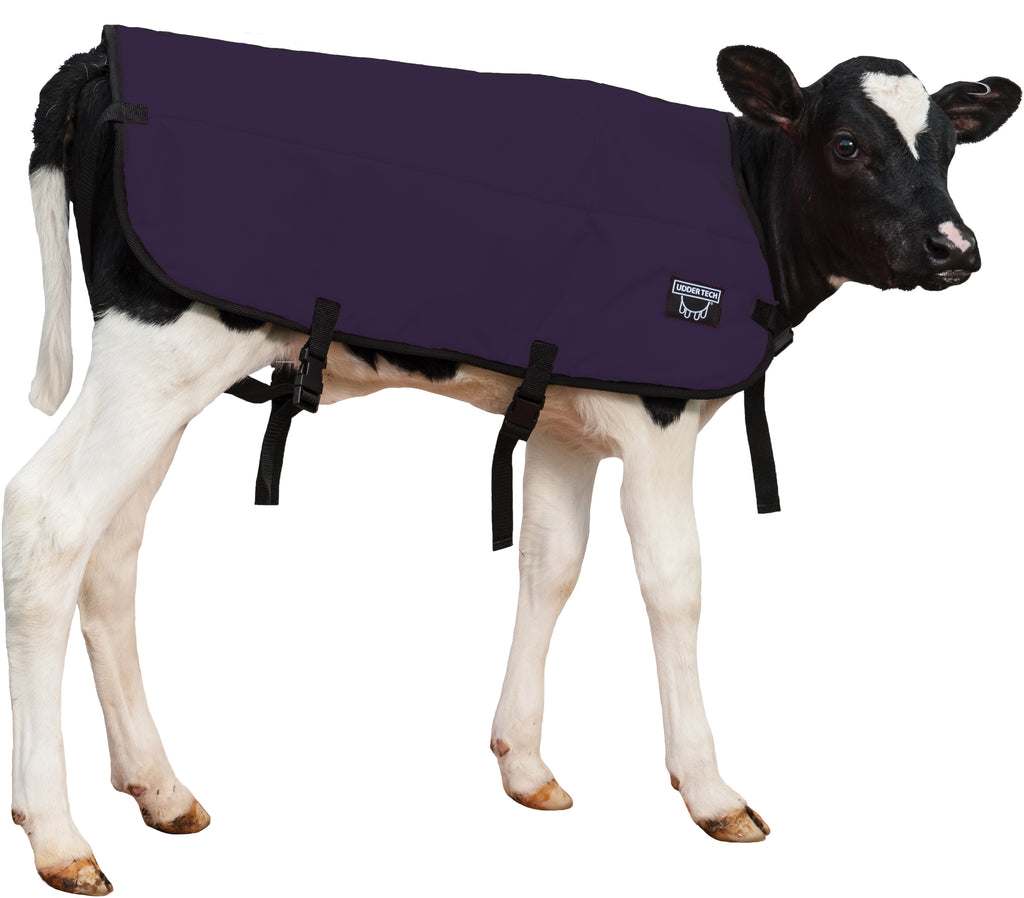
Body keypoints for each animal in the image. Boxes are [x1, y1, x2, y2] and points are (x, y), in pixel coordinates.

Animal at [3, 33, 1019, 895]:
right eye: (846, 144)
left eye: (947, 151)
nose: (955, 248)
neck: (746, 199)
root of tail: (104, 54)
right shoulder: (659, 427)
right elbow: (675, 586)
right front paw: (710, 791)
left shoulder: (568, 420)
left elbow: (550, 564)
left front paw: (526, 766)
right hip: (158, 349)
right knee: (49, 523)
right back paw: (58, 837)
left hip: (164, 375)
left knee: (113, 551)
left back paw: (159, 788)